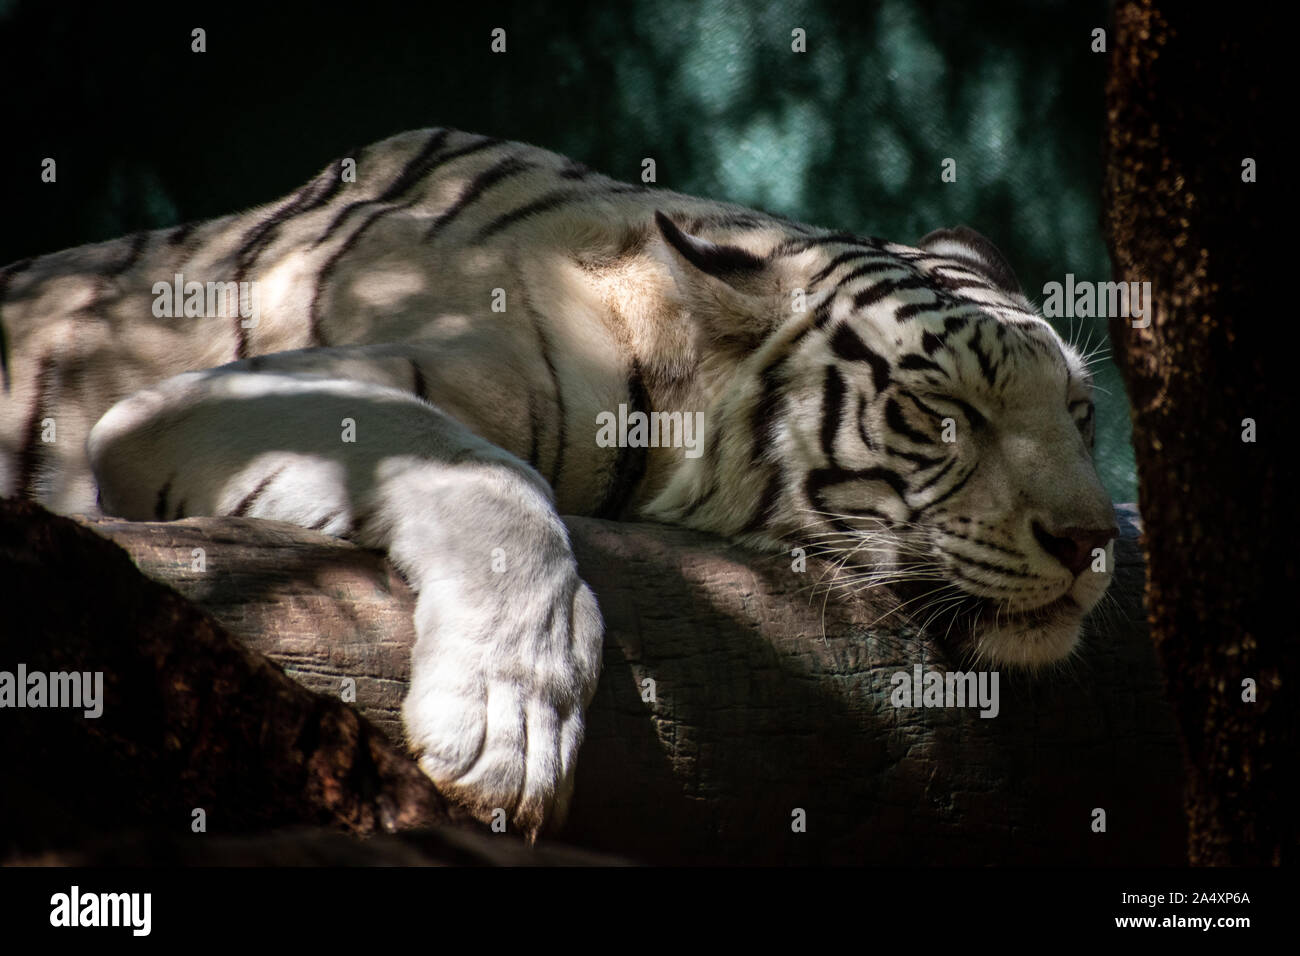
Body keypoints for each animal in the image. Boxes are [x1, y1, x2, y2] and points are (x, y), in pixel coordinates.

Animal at [0, 127, 1117, 838]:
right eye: (945, 414)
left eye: (1080, 412)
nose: (1093, 541)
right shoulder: (189, 405)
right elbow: (482, 476)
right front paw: (504, 728)